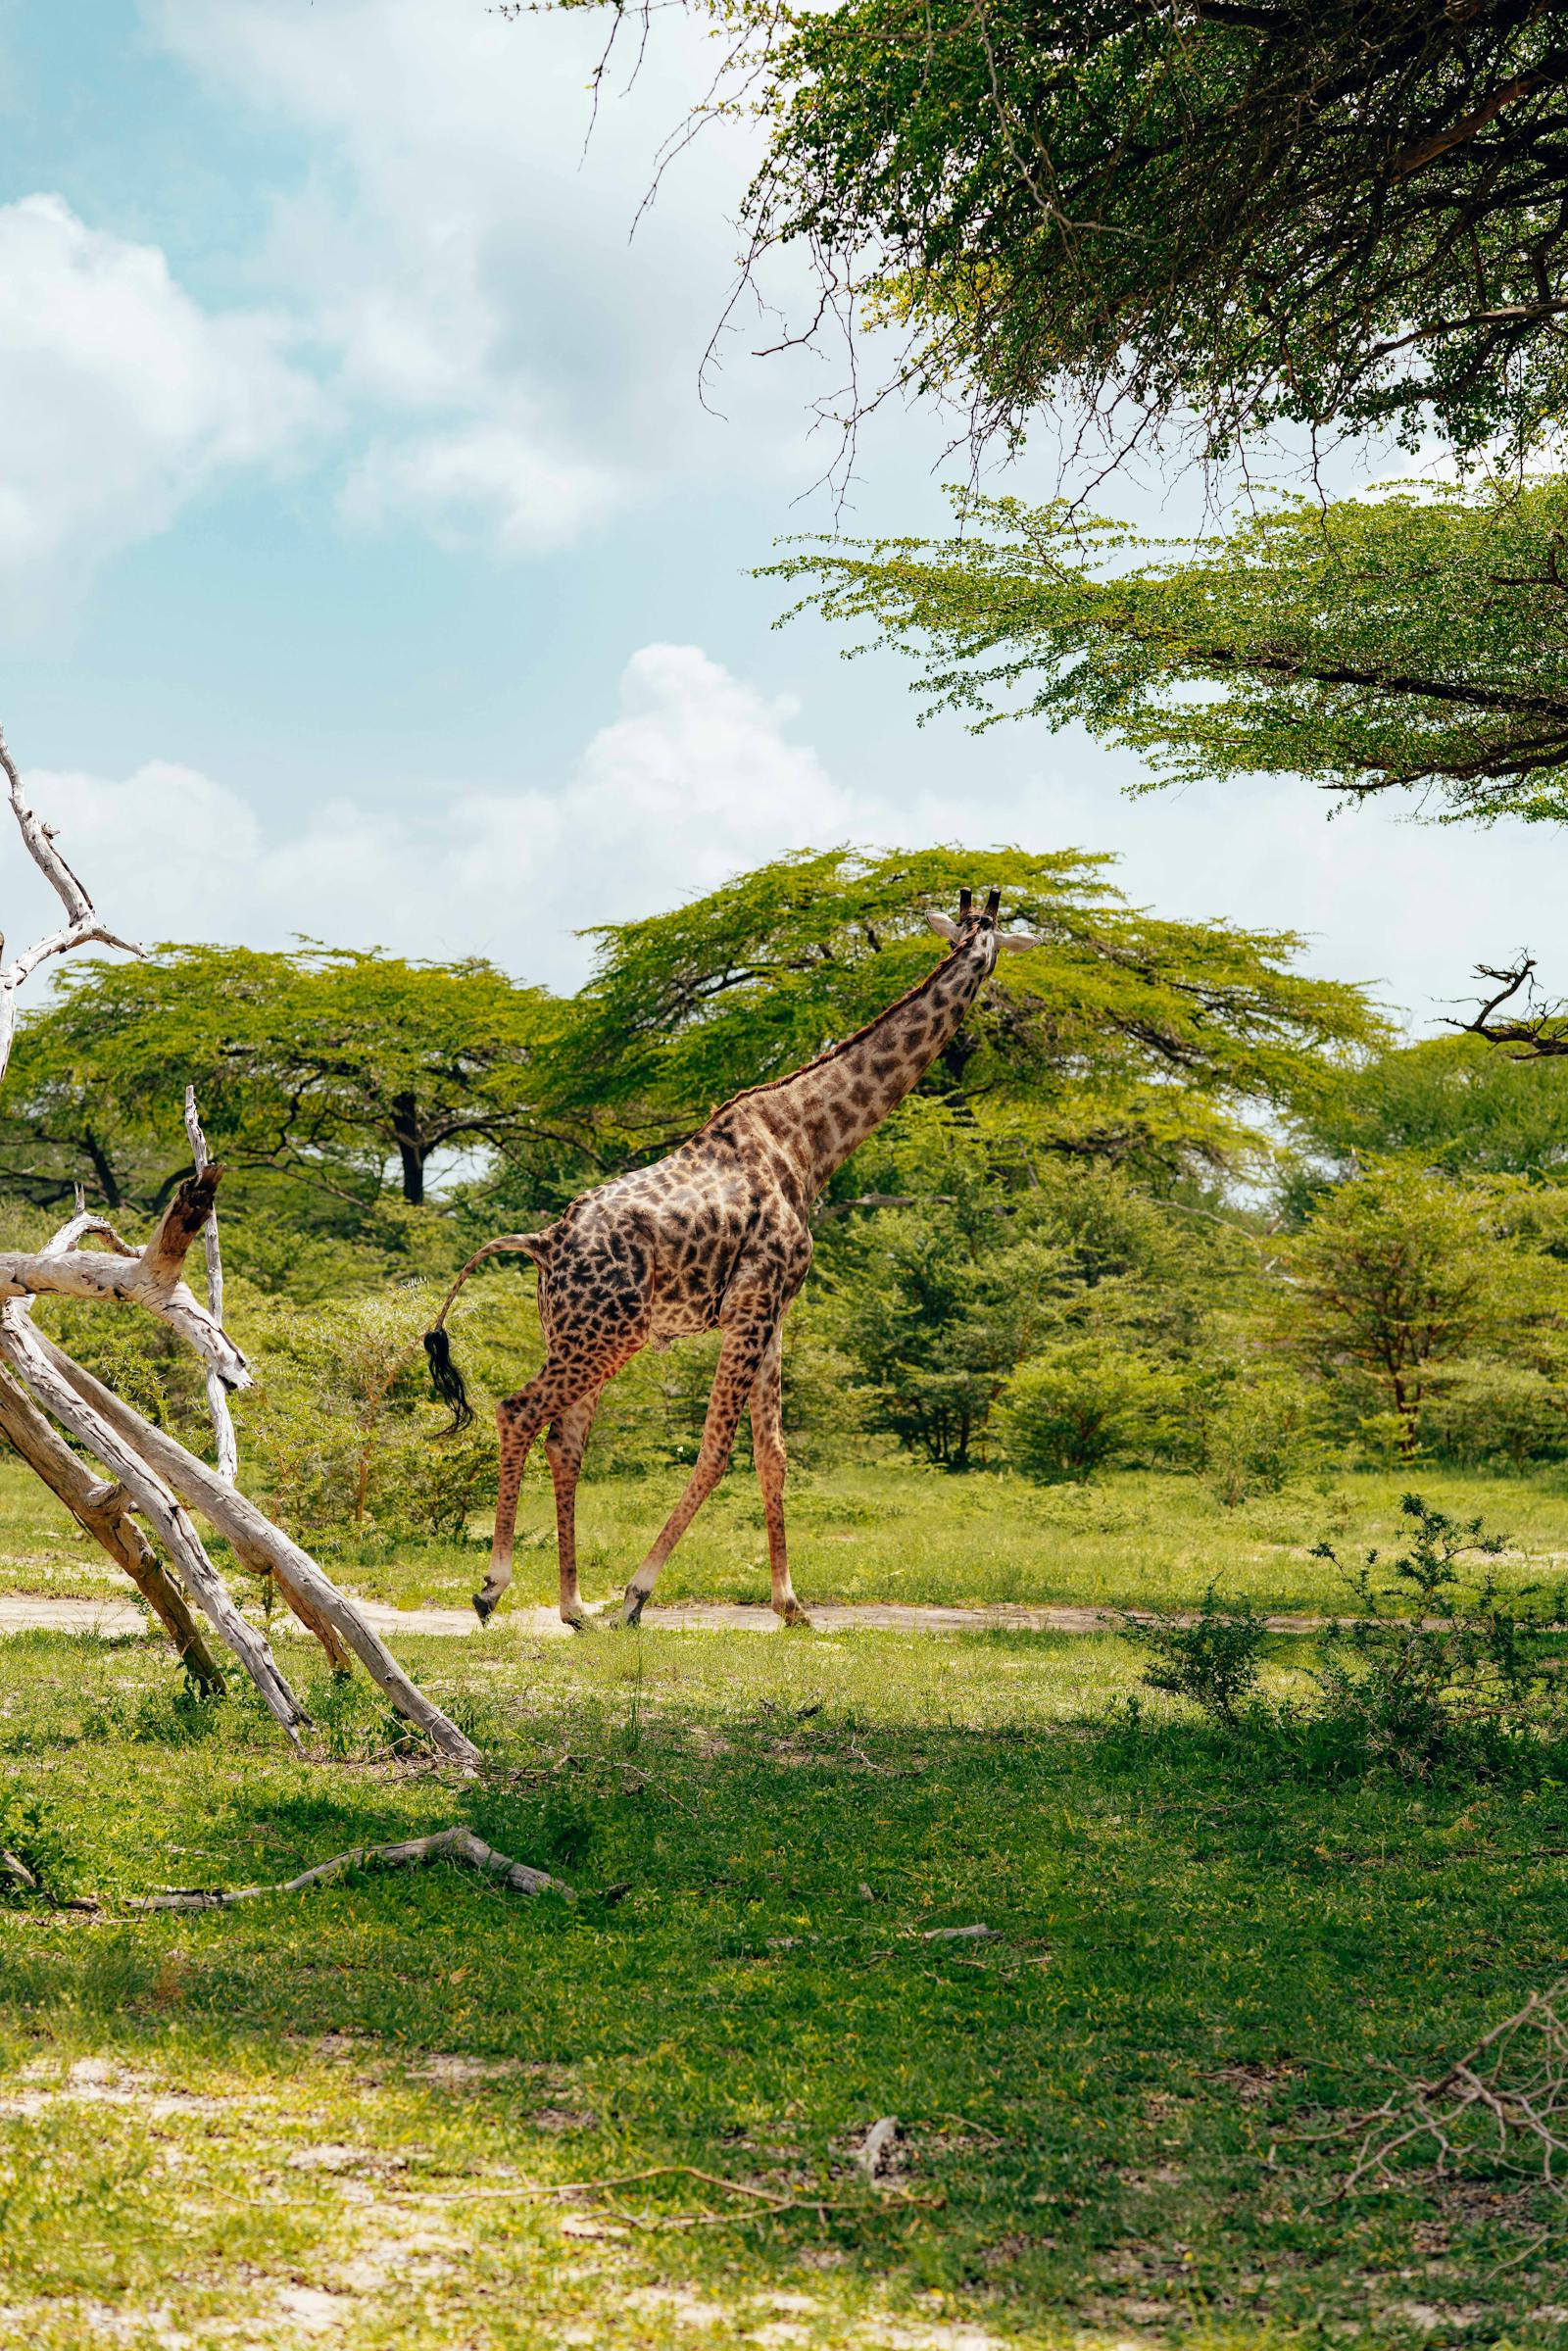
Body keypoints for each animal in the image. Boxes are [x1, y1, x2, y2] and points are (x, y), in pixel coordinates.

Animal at [424, 886, 1035, 1629]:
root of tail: (543, 1243)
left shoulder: (773, 1310)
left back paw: (574, 1607)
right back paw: (494, 1587)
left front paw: (791, 1605)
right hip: (606, 1338)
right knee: (518, 1410)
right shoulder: (755, 1299)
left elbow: (773, 1453)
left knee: (563, 1440)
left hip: (579, 1334)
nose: (999, 1005)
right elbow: (717, 1450)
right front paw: (637, 1594)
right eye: (993, 945)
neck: (810, 1141)